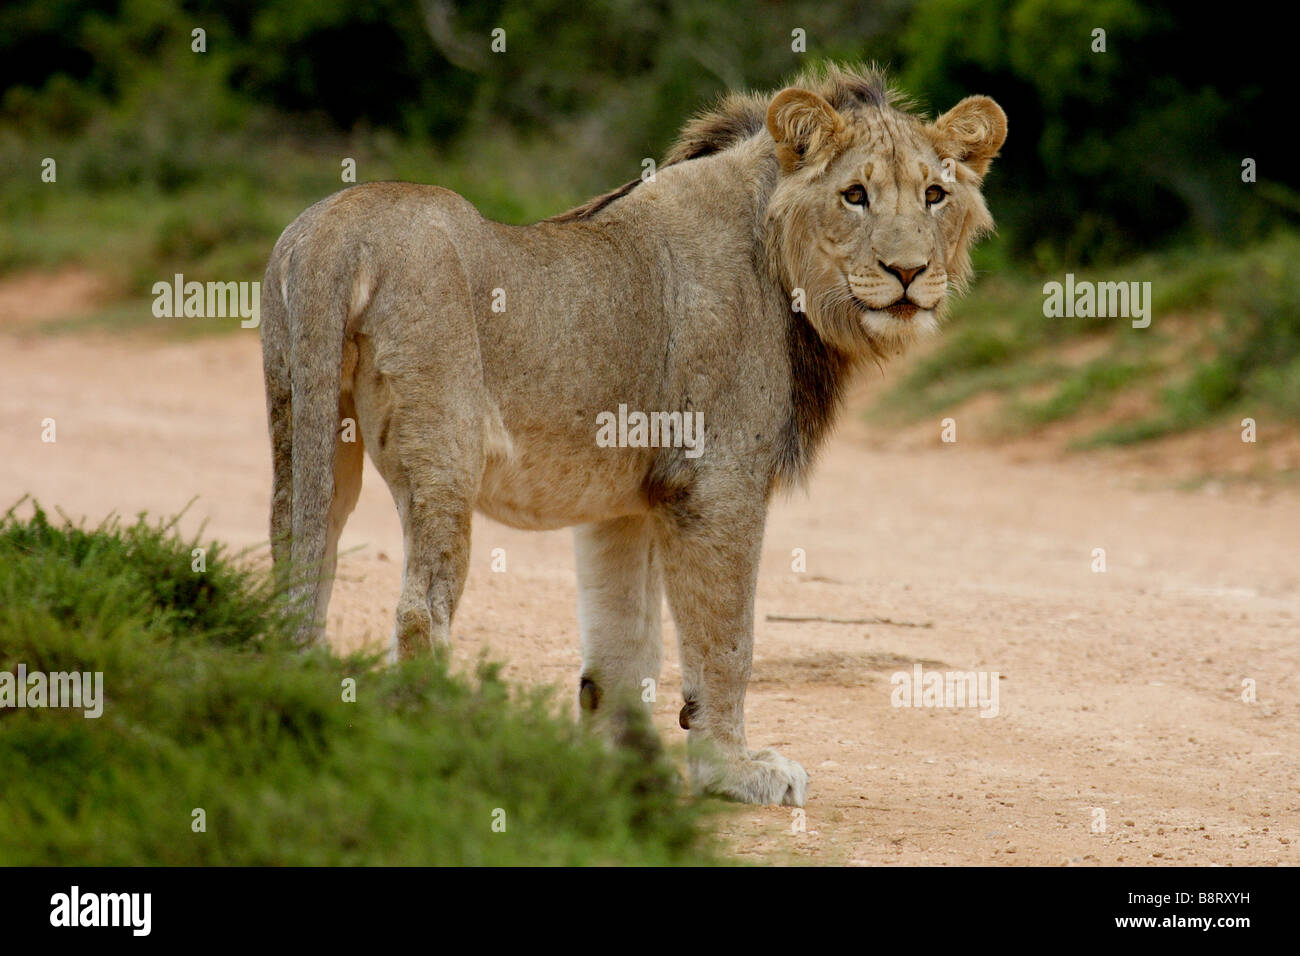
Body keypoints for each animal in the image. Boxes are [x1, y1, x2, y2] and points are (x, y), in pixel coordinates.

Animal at [261, 63, 1006, 807]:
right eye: (855, 196)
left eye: (935, 195)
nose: (908, 272)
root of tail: (336, 232)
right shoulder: (717, 485)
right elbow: (727, 642)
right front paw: (734, 771)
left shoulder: (624, 501)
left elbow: (622, 648)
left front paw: (623, 771)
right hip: (443, 452)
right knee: (420, 610)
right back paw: (441, 747)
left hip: (303, 426)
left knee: (299, 565)